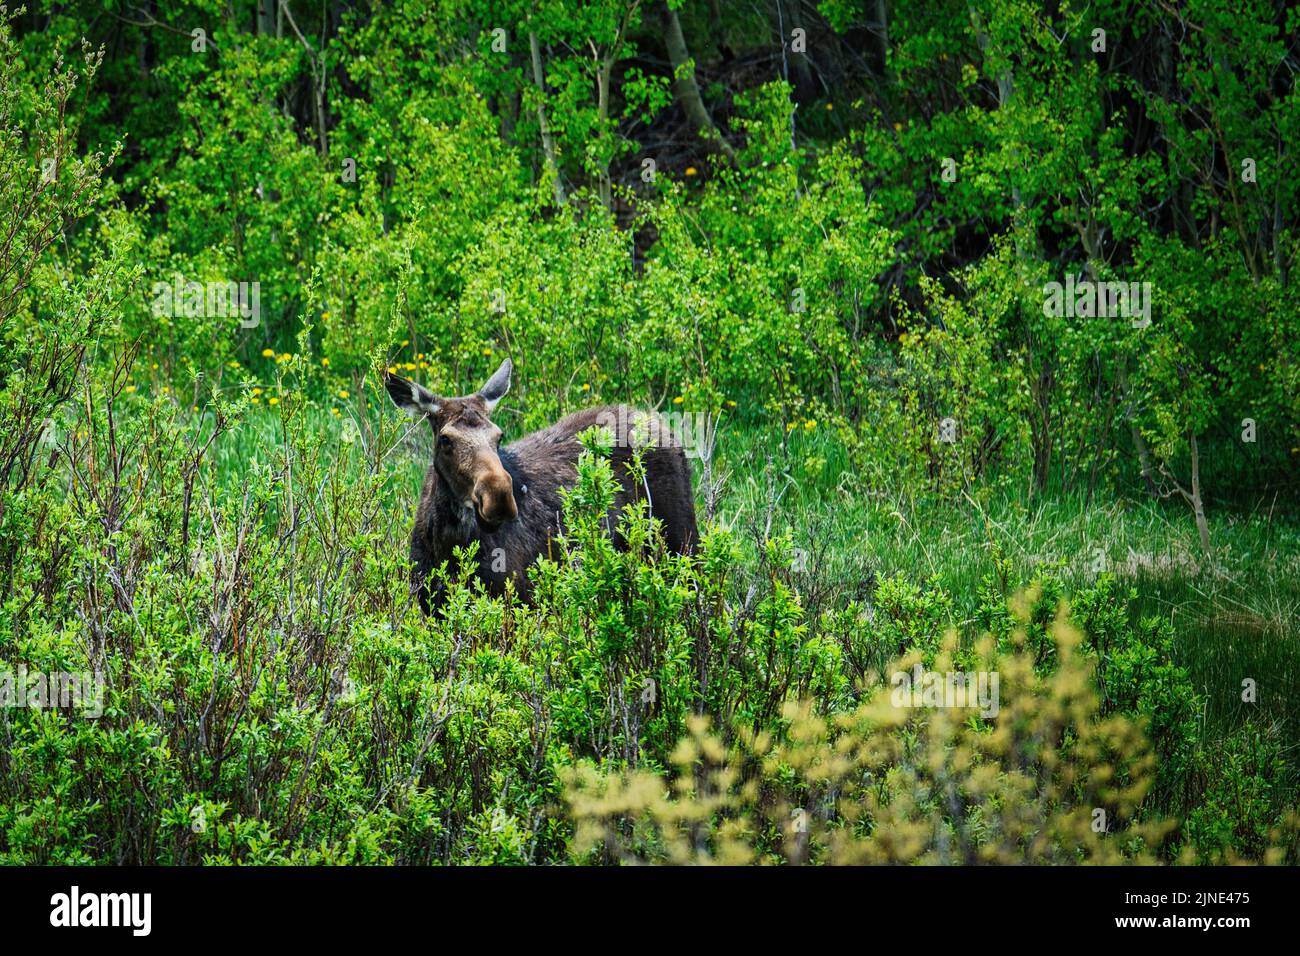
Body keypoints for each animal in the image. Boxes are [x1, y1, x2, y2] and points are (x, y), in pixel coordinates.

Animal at [384, 359, 698, 613]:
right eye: (446, 439)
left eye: (498, 436)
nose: (498, 497)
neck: (447, 542)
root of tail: (660, 423)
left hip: (681, 543)